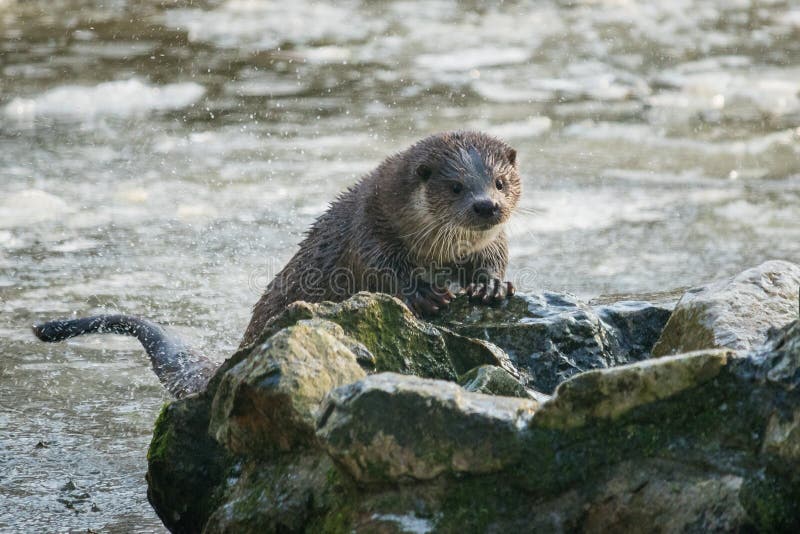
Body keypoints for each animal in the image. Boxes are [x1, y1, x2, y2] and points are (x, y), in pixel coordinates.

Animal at [32, 131, 521, 396]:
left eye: (500, 182)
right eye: (456, 187)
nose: (486, 205)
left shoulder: (488, 243)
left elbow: (495, 255)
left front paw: (491, 286)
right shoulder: (369, 230)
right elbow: (382, 269)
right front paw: (423, 294)